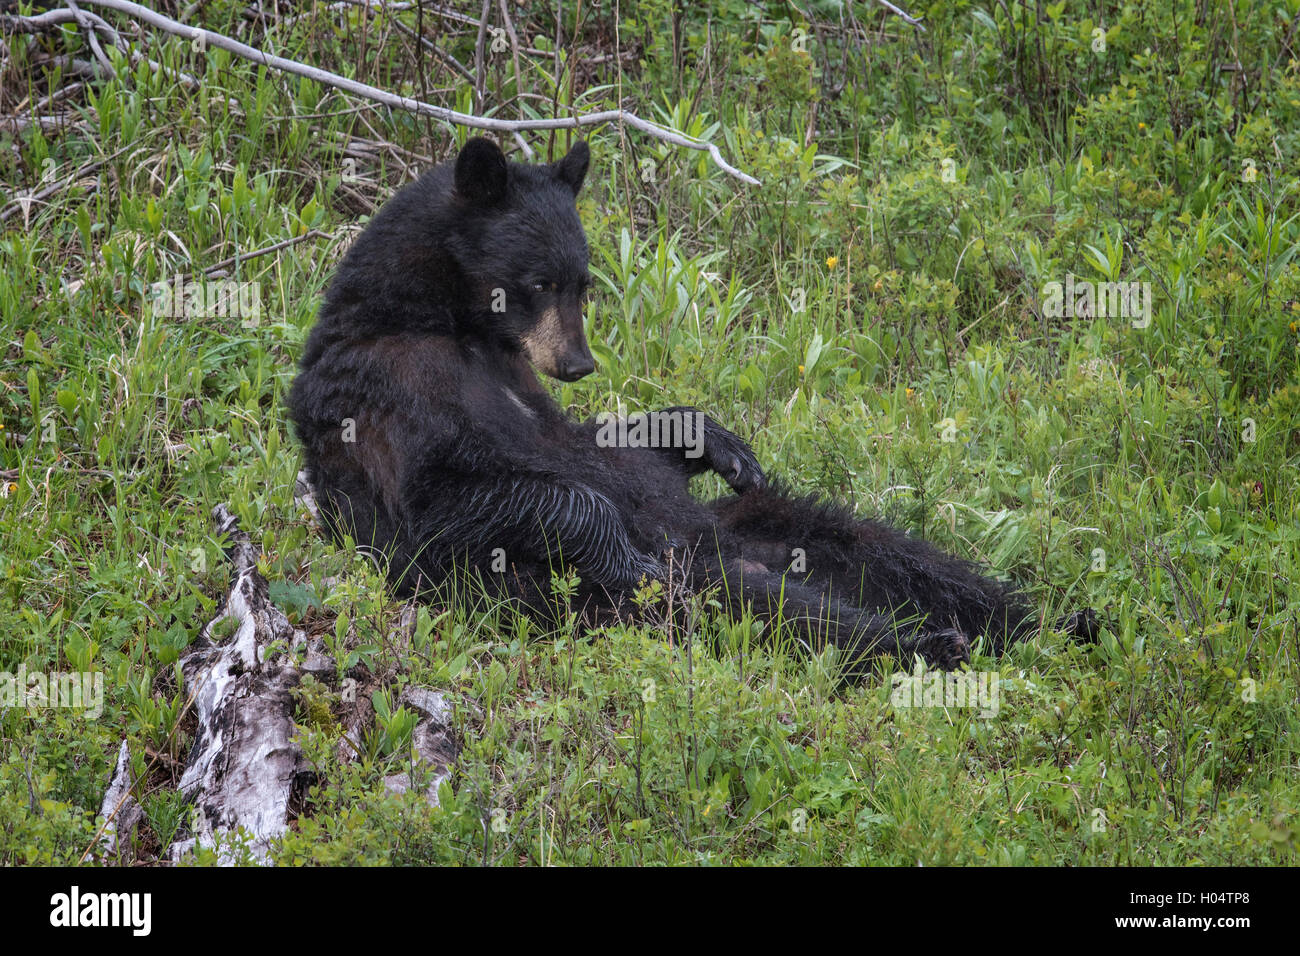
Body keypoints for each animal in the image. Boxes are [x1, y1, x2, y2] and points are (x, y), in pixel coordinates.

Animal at [288, 137, 1095, 681]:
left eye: (585, 281)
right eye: (538, 281)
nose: (579, 363)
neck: (439, 317)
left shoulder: (523, 376)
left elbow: (596, 436)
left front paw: (715, 441)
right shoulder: (393, 392)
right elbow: (449, 499)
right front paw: (613, 542)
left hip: (774, 525)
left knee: (907, 557)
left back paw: (1056, 621)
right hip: (680, 579)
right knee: (771, 607)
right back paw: (925, 643)